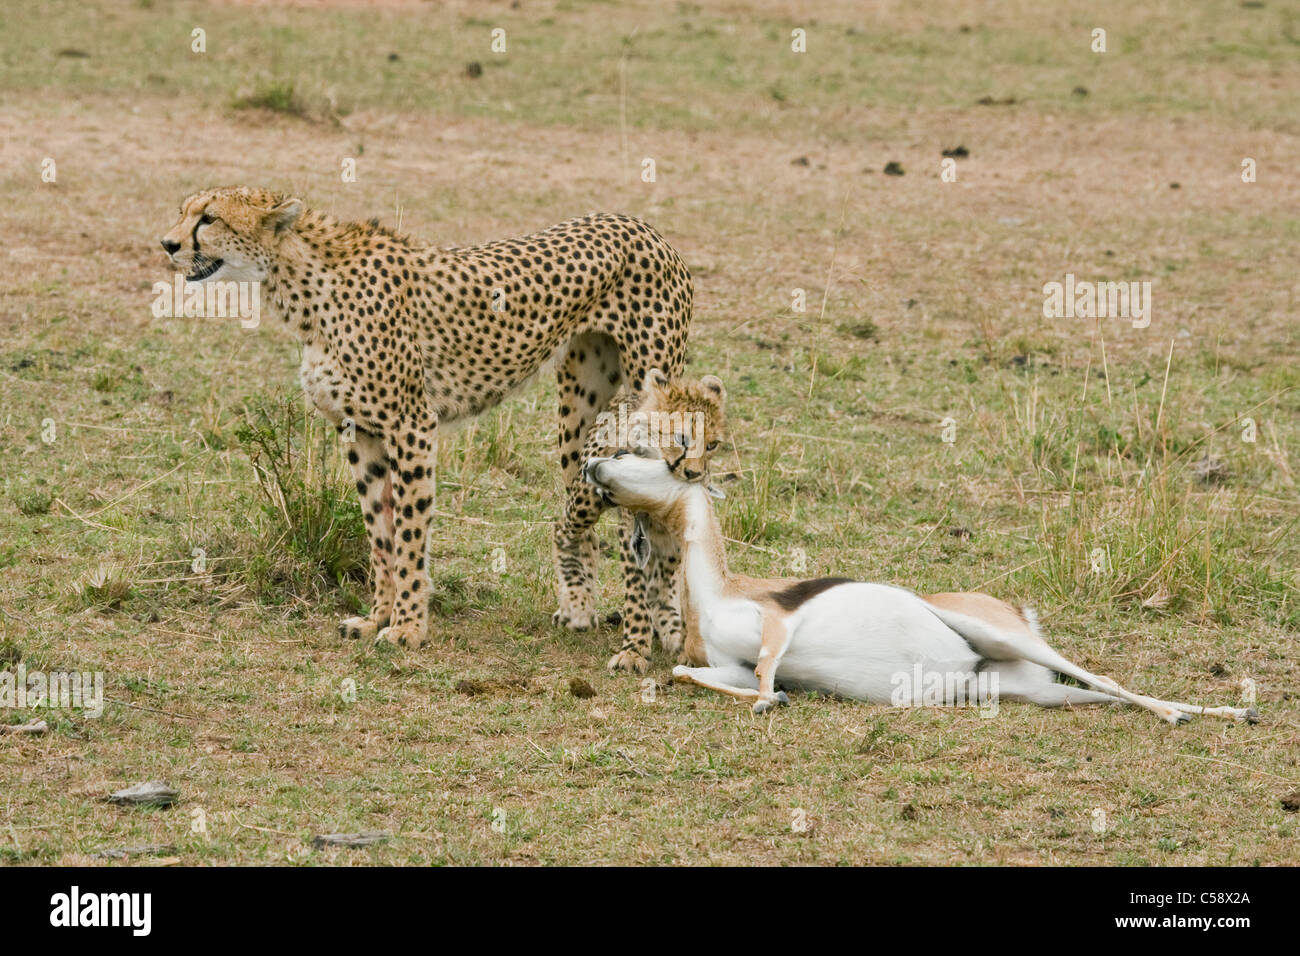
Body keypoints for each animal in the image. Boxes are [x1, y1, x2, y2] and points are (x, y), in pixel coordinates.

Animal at [159, 186, 691, 651]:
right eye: (183, 212)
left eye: (210, 218)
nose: (167, 244)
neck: (302, 285)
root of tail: (640, 224)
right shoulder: (359, 431)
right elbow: (380, 534)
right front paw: (376, 616)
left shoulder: (410, 425)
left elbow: (410, 534)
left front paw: (408, 627)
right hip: (577, 415)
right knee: (581, 507)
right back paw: (581, 610)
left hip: (651, 395)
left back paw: (664, 630)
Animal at [582, 451, 1258, 725]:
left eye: (653, 458)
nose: (593, 464)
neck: (720, 591)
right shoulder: (725, 665)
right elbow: (684, 673)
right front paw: (773, 699)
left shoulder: (780, 621)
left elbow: (769, 667)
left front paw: (771, 701)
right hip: (1026, 689)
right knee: (1099, 695)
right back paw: (1226, 711)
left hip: (1011, 640)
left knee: (1109, 679)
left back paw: (1192, 712)